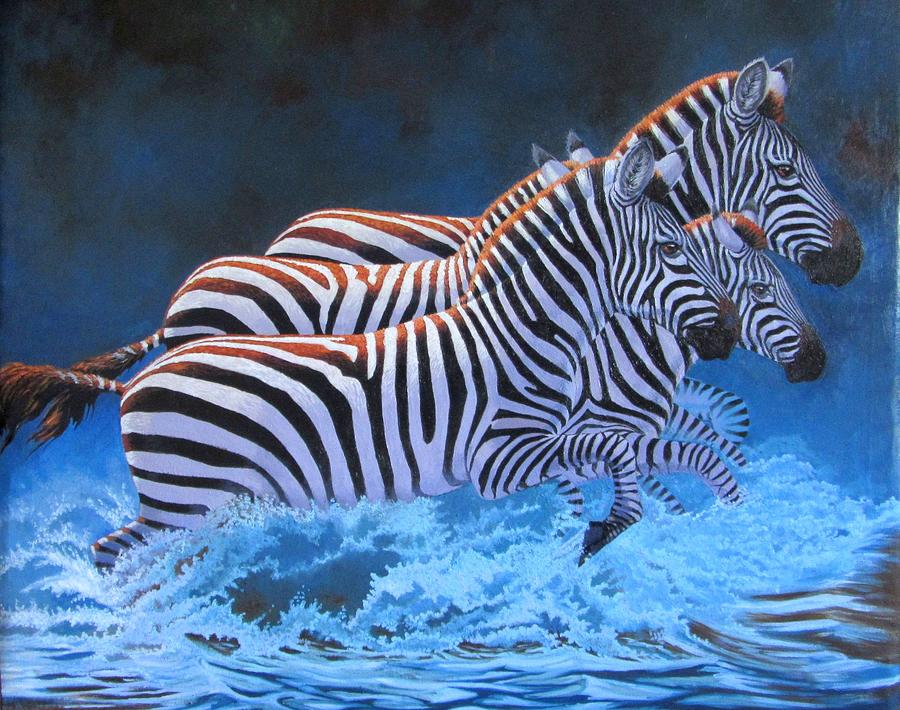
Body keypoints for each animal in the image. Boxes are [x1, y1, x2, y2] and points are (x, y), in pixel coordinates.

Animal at [0, 142, 739, 567]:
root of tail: (139, 381)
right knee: (119, 552)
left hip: (189, 503)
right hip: (187, 501)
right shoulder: (500, 459)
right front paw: (619, 524)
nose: (727, 334)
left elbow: (632, 452)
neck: (523, 333)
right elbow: (619, 450)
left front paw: (633, 524)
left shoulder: (559, 437)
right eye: (672, 248)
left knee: (113, 549)